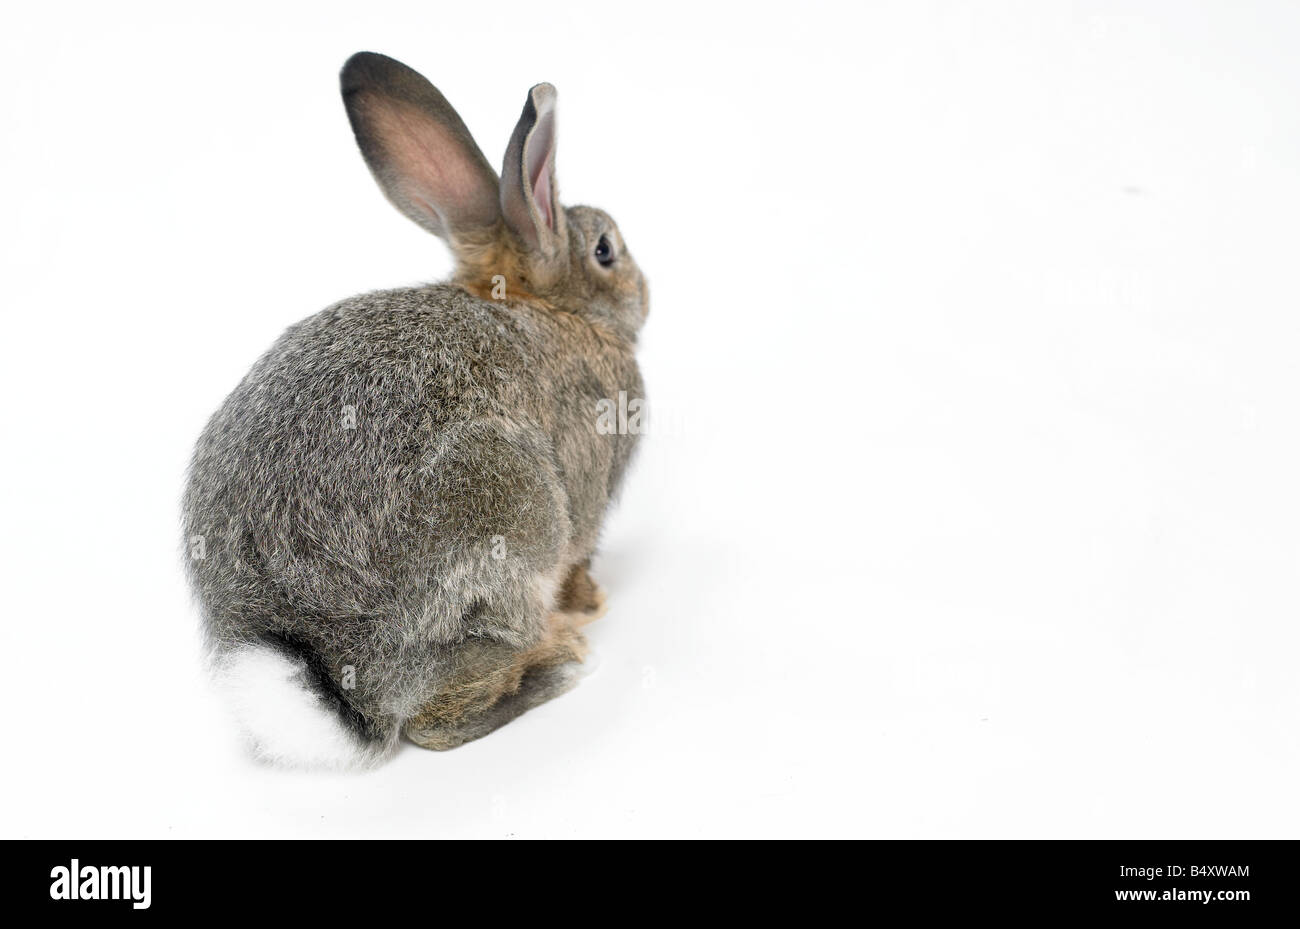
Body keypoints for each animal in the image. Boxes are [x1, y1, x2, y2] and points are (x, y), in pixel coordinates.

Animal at [182, 52, 647, 768]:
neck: (545, 307)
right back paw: (556, 663)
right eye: (605, 249)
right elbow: (580, 559)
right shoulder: (585, 498)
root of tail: (335, 670)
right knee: (436, 720)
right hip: (505, 515)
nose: (646, 290)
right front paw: (589, 604)